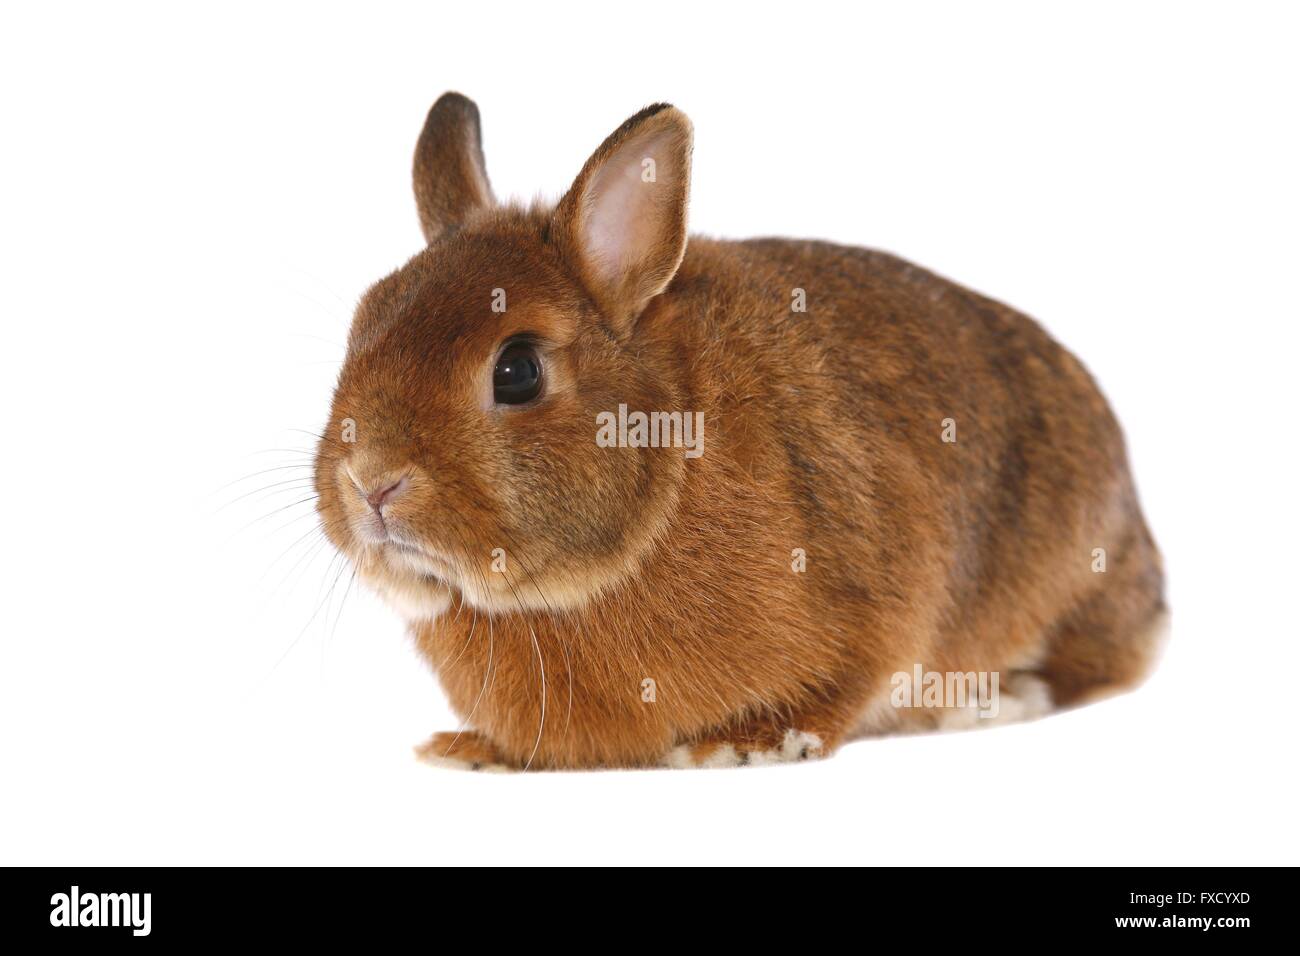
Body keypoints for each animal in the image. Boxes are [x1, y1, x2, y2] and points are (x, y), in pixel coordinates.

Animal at [313, 92, 1166, 771]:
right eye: (358, 330)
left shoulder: (880, 582)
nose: (371, 481)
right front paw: (470, 752)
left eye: (517, 370)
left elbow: (853, 678)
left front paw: (751, 744)